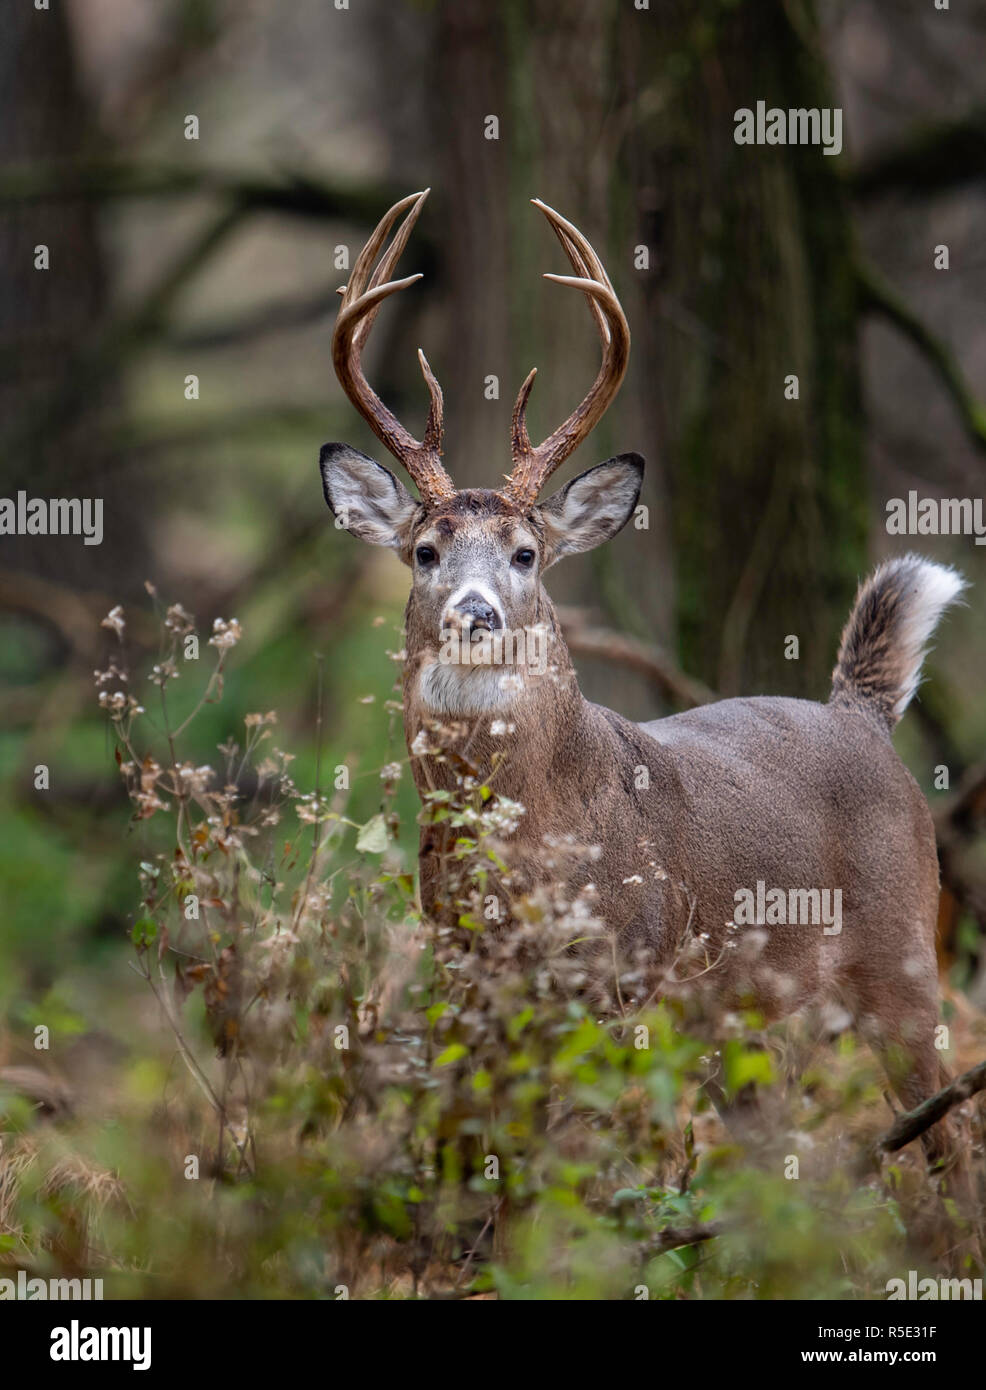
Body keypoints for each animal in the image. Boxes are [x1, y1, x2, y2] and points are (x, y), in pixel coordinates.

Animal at [318, 189, 974, 1212]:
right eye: (425, 551)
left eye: (527, 553)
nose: (475, 613)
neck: (536, 835)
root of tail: (860, 715)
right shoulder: (466, 973)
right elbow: (486, 1153)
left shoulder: (623, 971)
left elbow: (577, 1160)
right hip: (747, 1015)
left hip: (905, 951)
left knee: (955, 1135)